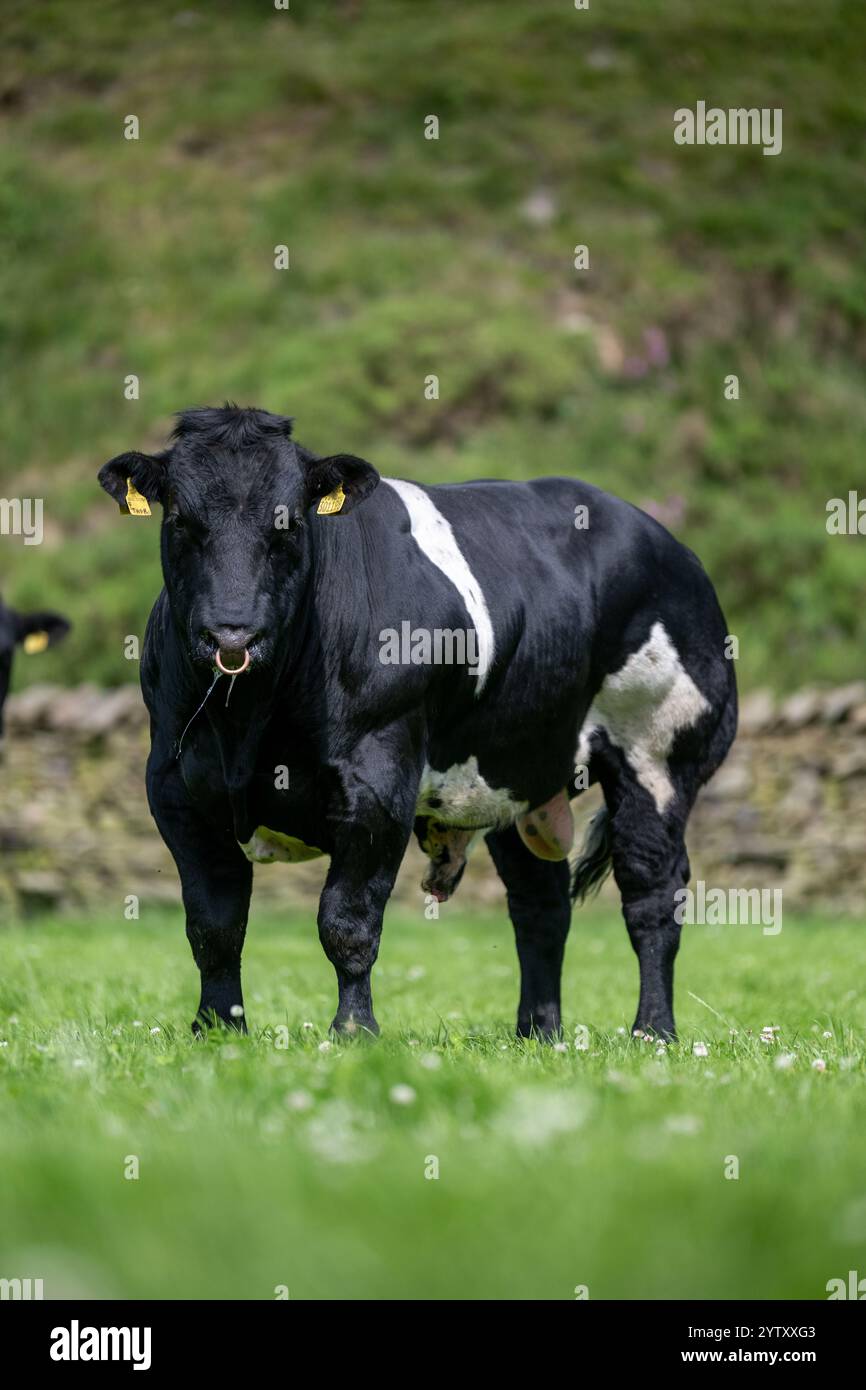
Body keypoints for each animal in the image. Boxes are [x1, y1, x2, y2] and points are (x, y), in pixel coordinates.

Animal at [97, 405, 737, 1041]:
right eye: (180, 521)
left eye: (289, 525)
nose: (232, 633)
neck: (247, 722)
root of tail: (667, 544)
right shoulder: (175, 787)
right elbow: (214, 925)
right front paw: (218, 1029)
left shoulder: (377, 784)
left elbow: (348, 920)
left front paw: (354, 1029)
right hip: (516, 771)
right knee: (540, 906)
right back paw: (538, 1032)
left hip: (658, 753)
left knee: (651, 891)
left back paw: (652, 1030)